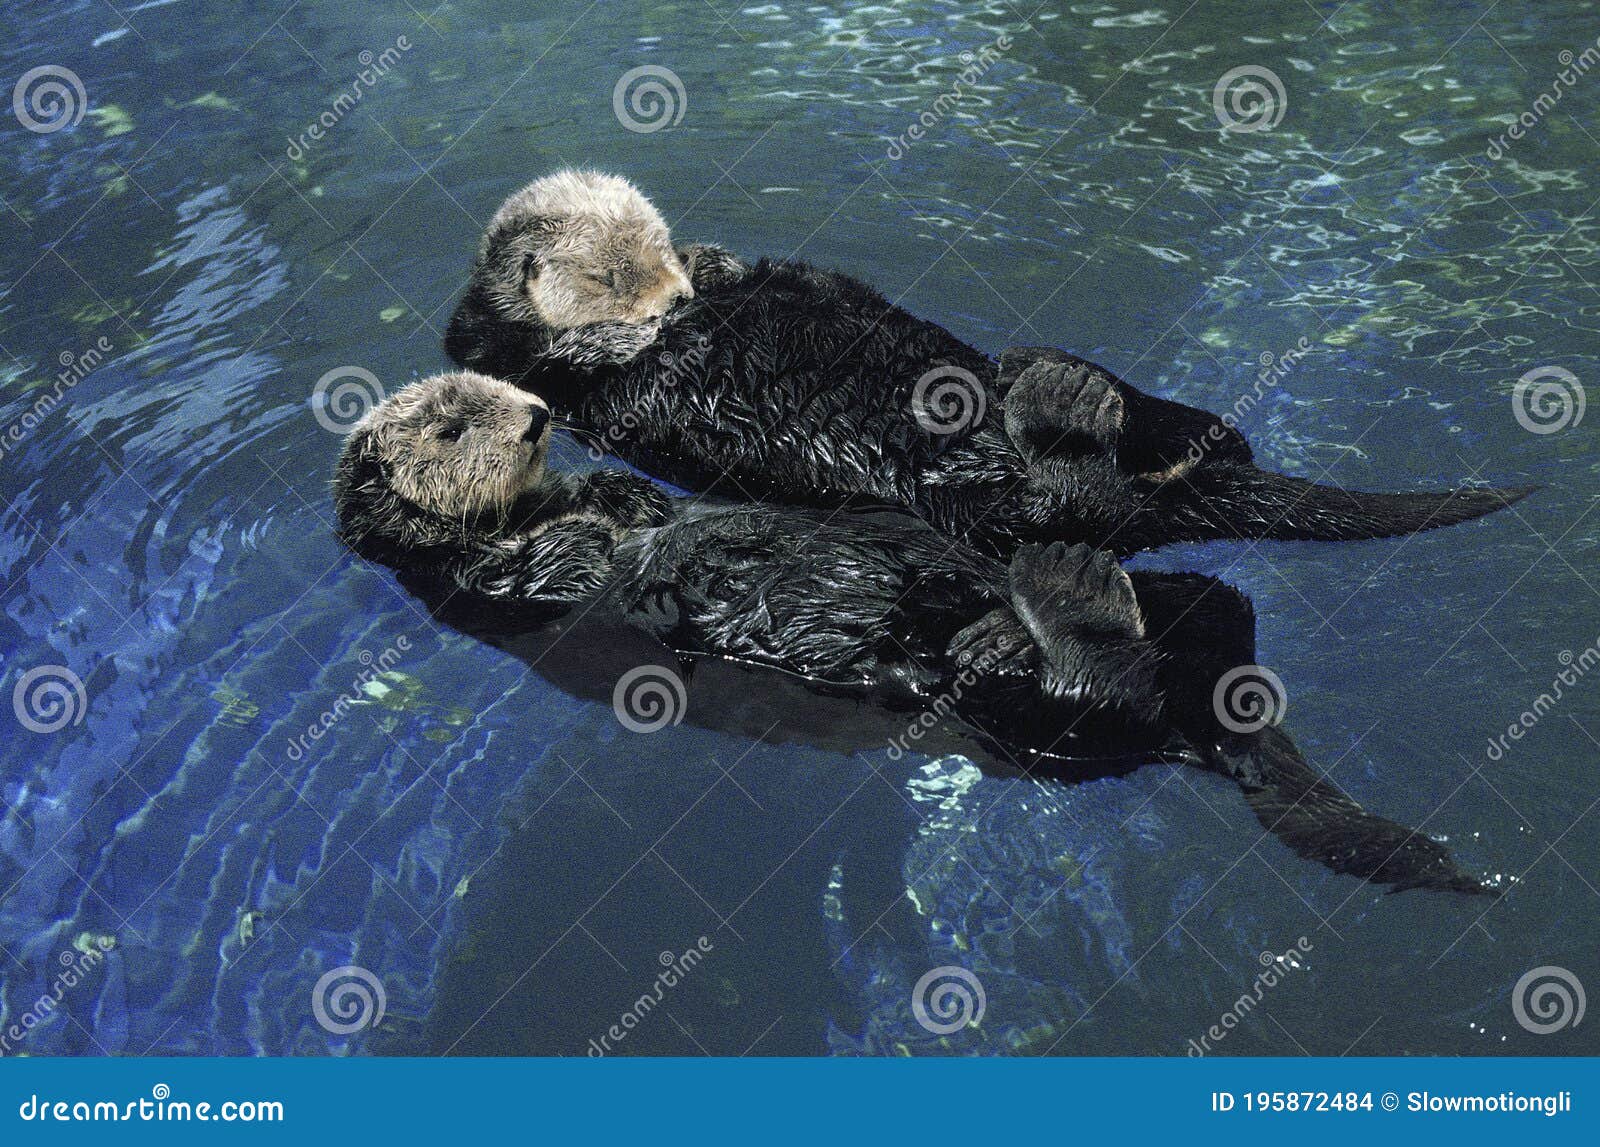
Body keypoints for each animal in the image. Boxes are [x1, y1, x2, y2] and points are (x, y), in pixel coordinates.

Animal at [334, 370, 1486, 894]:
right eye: (452, 424)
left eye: (498, 392)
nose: (533, 415)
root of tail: (1211, 712)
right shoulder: (492, 582)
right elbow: (577, 565)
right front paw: (628, 537)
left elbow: (632, 504)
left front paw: (628, 497)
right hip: (1024, 730)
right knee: (1099, 688)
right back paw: (1063, 598)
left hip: (1166, 614)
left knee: (1206, 598)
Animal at [443, 170, 1532, 558]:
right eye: (613, 271)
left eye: (660, 245)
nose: (673, 293)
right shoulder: (550, 376)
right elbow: (569, 369)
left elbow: (773, 274)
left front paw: (718, 267)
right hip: (986, 507)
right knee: (1075, 506)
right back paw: (1086, 424)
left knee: (1163, 431)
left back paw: (1100, 397)